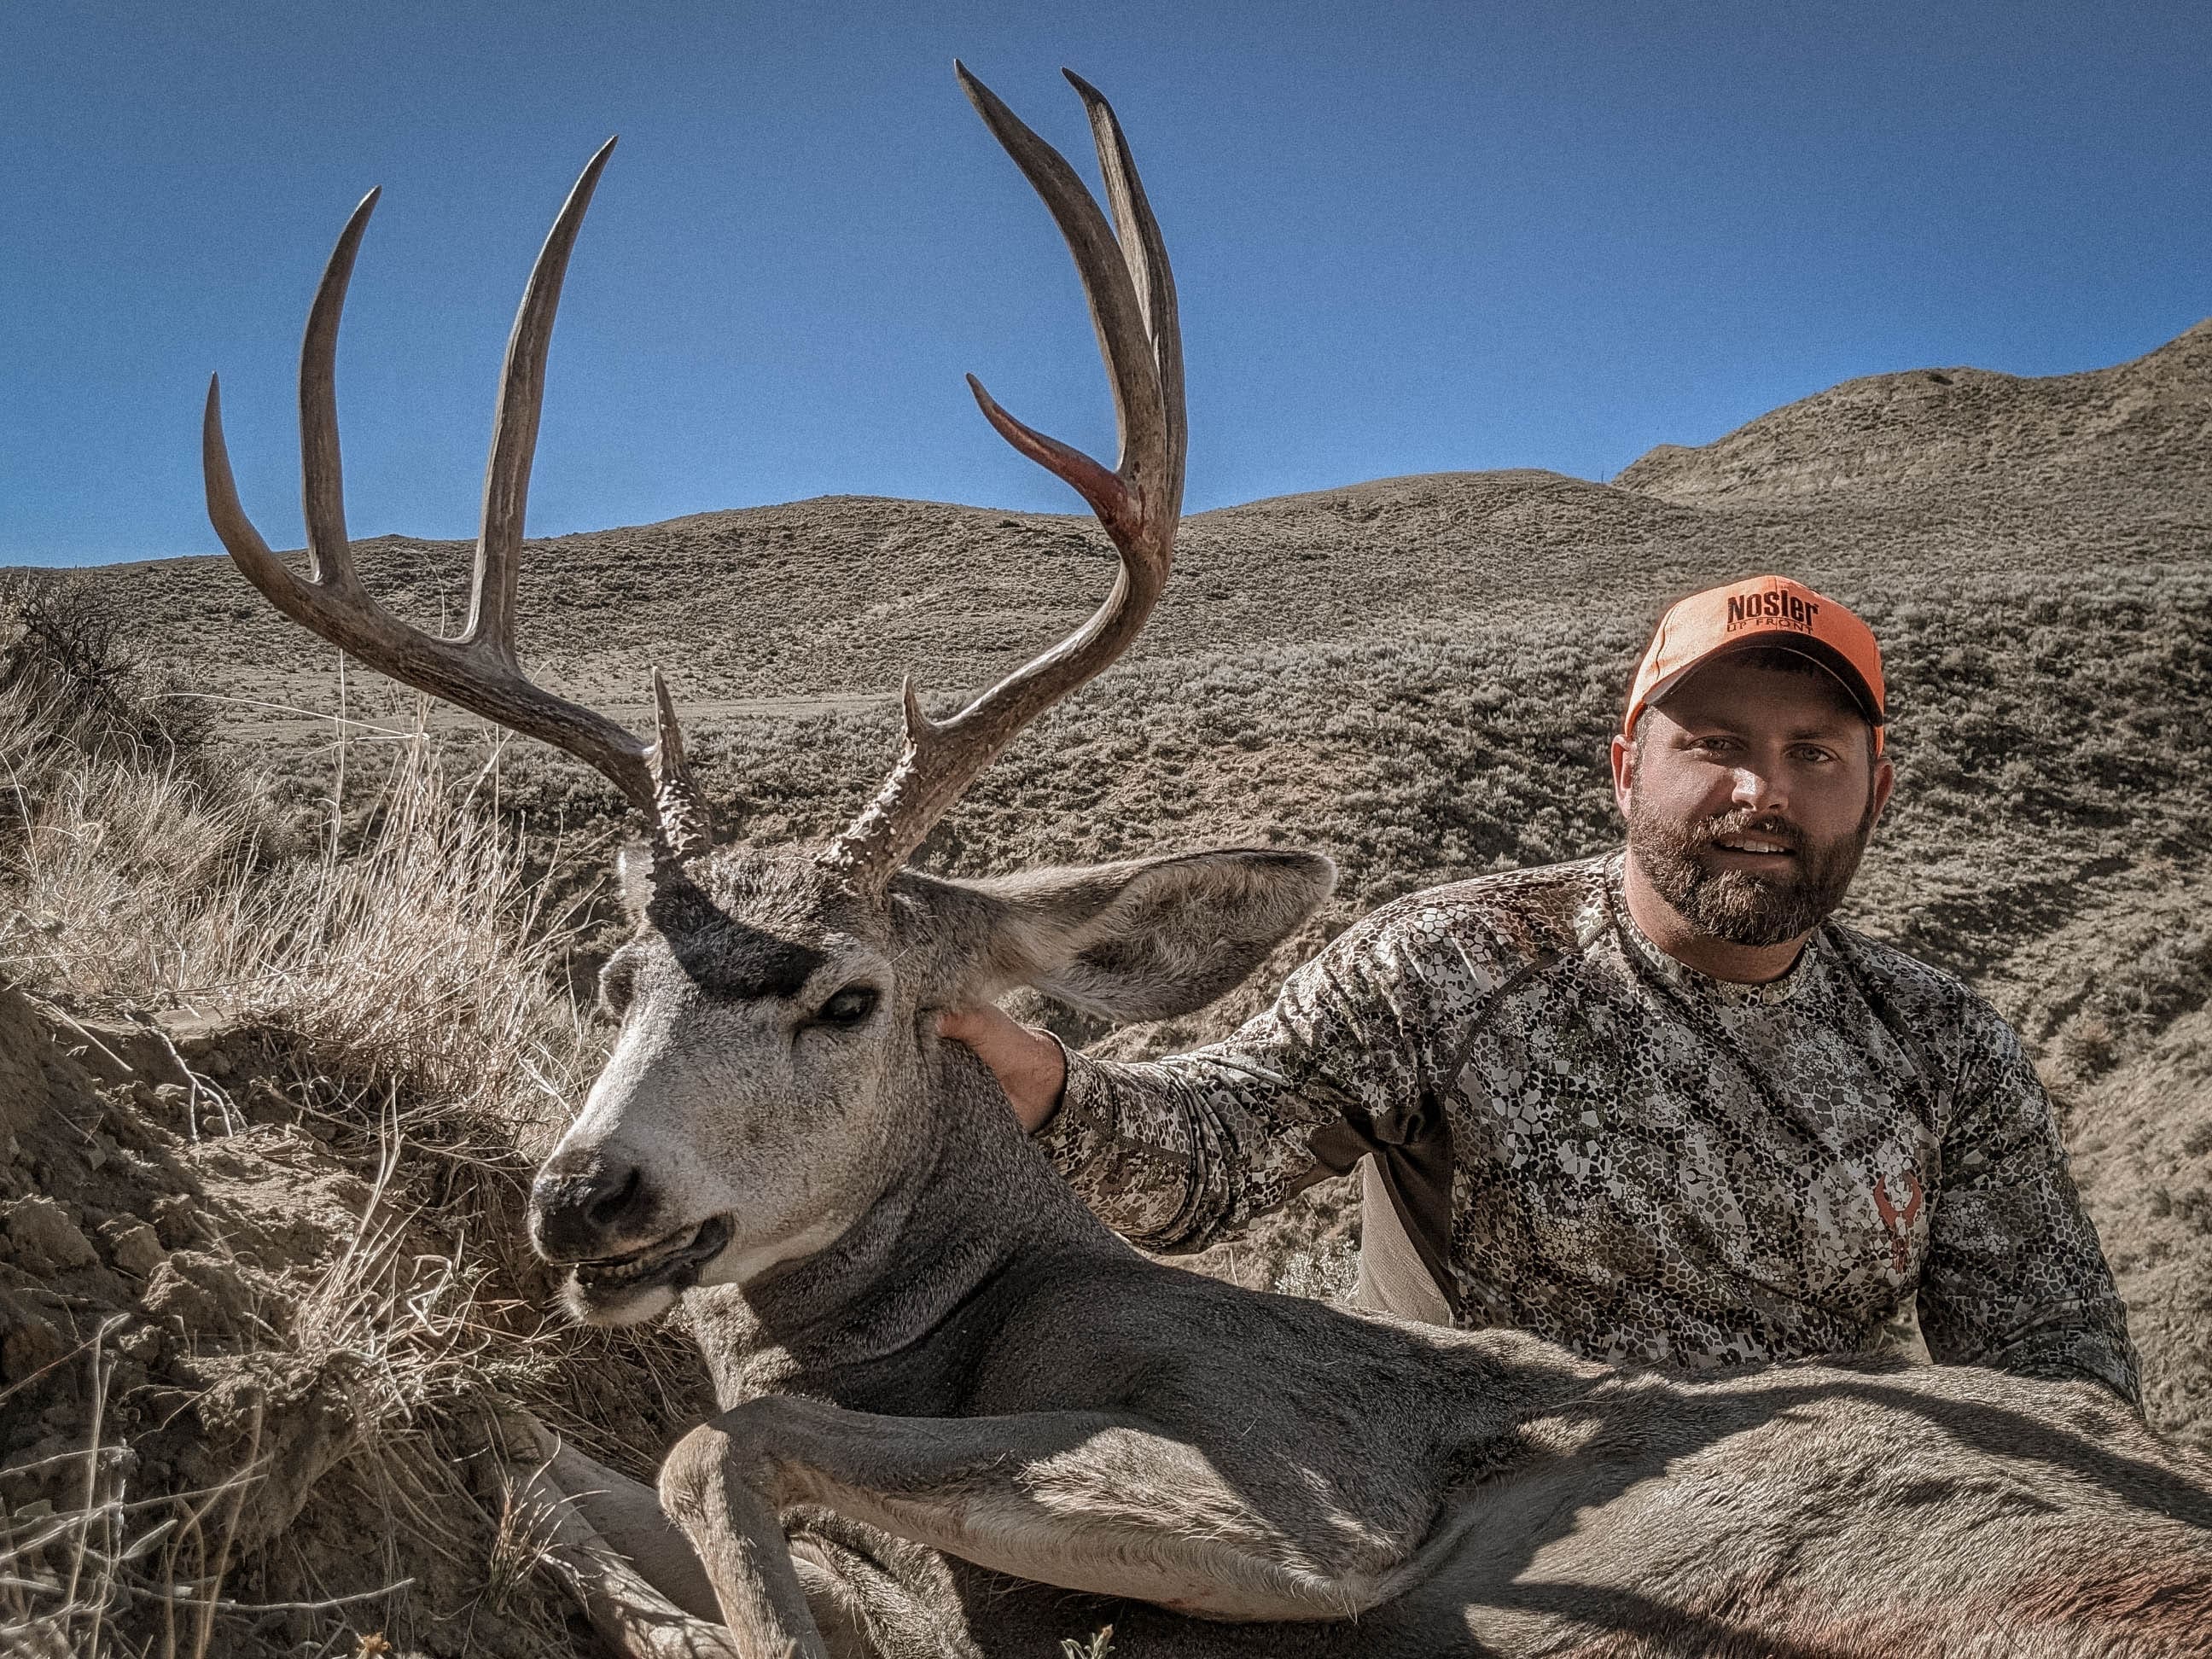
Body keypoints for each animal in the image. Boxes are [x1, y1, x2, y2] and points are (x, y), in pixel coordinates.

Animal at [202, 64, 2212, 1659]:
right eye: (616, 972)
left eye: (849, 997)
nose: (584, 1196)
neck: (978, 1309)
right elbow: (569, 1469)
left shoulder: (1308, 1492)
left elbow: (719, 1442)